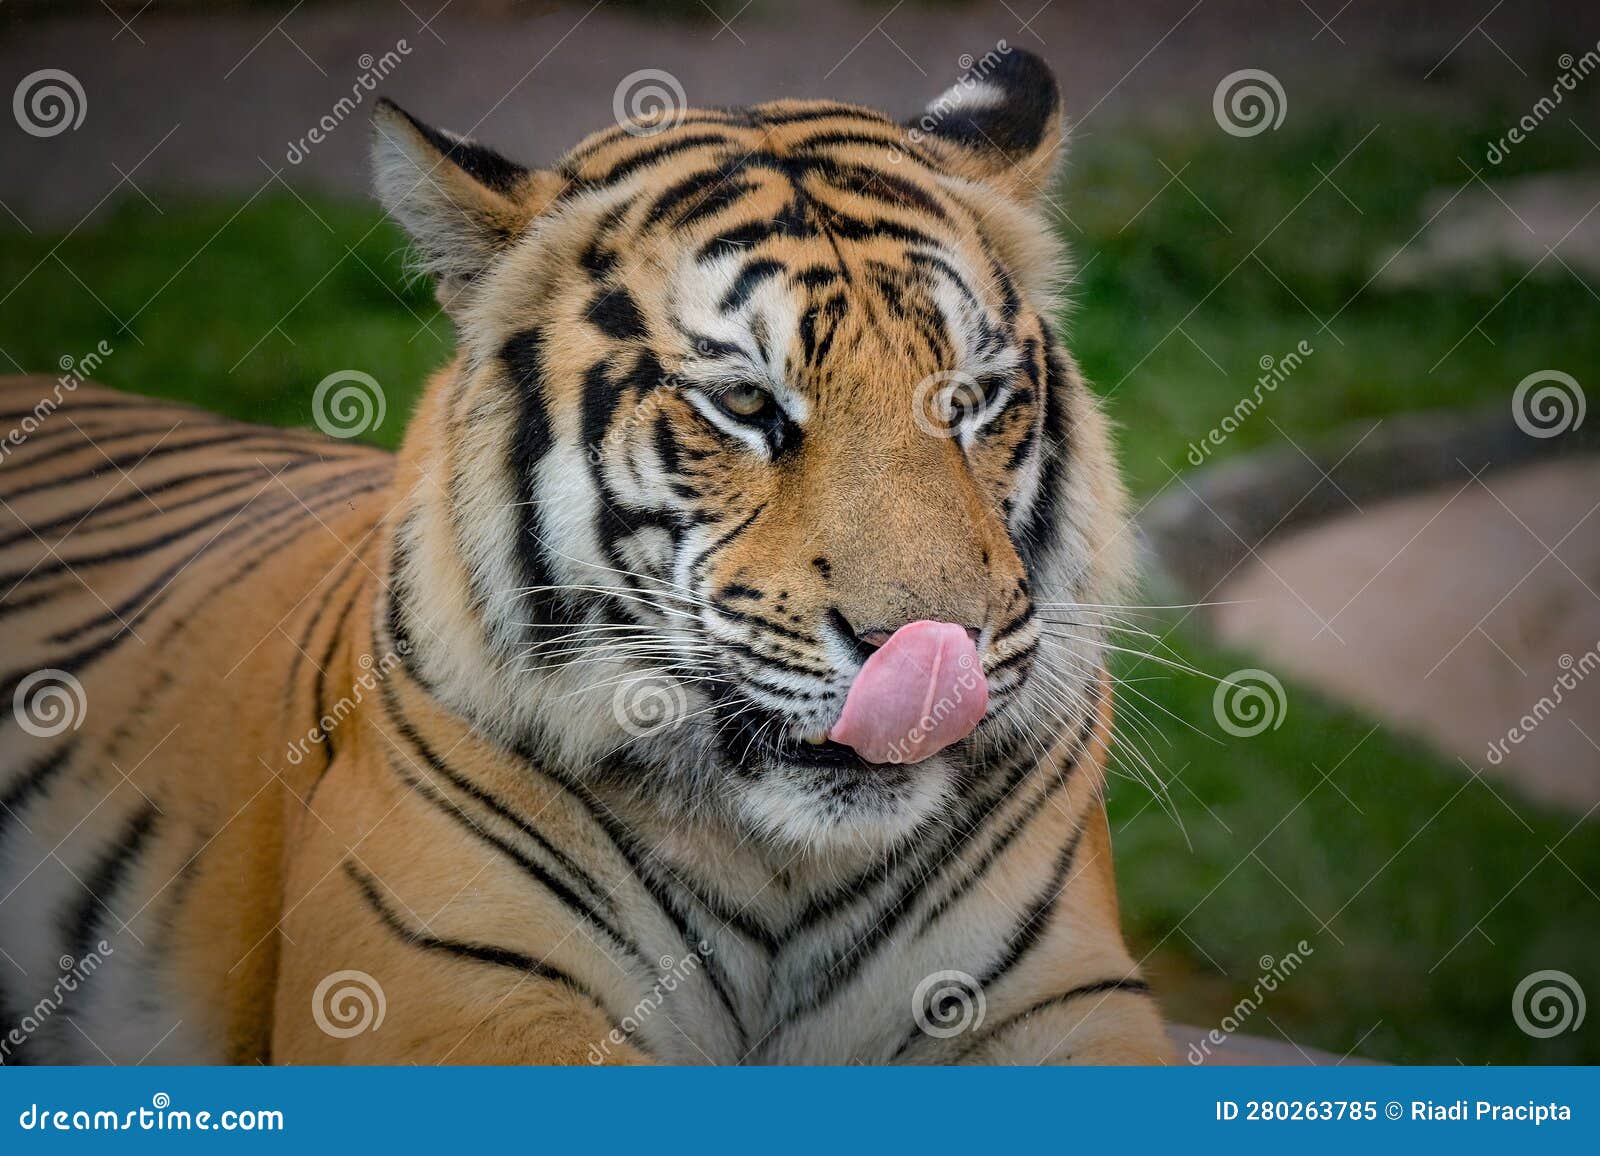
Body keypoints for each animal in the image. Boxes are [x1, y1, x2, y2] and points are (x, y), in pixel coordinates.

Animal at [0, 47, 1171, 1065]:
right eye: (746, 404)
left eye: (970, 400)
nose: (931, 652)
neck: (779, 873)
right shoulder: (441, 989)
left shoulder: (1060, 993)